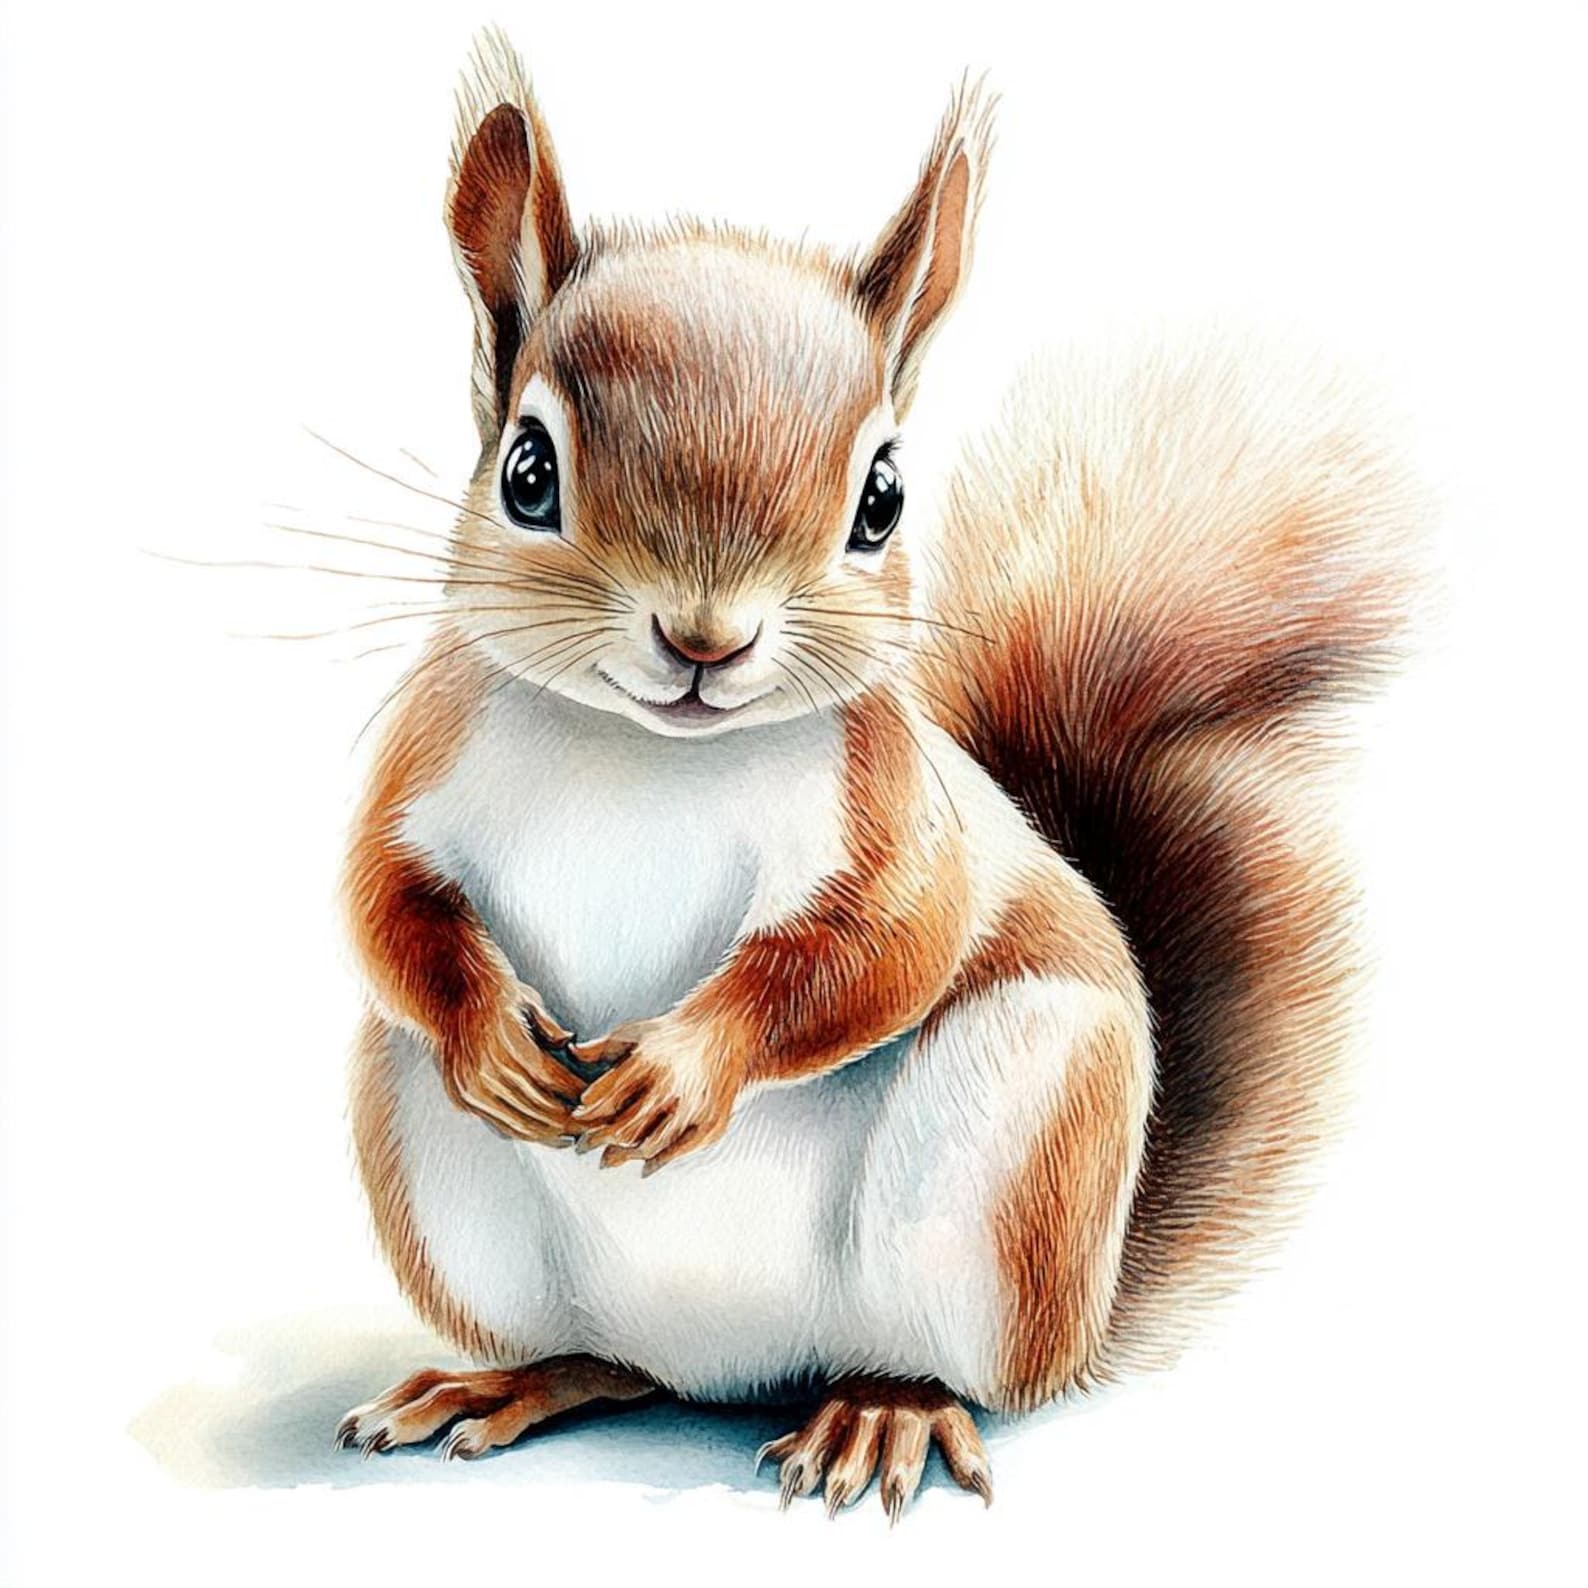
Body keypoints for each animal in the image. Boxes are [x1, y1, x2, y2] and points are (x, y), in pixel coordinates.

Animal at [332, 31, 1421, 1516]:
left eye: (882, 500)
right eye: (527, 470)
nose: (705, 638)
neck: (652, 756)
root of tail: (732, 1369)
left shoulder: (899, 809)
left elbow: (880, 946)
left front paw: (683, 1068)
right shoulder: (422, 760)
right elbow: (383, 904)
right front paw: (494, 1035)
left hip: (1010, 1154)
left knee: (953, 1365)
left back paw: (882, 1411)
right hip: (429, 1158)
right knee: (604, 1359)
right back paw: (506, 1380)